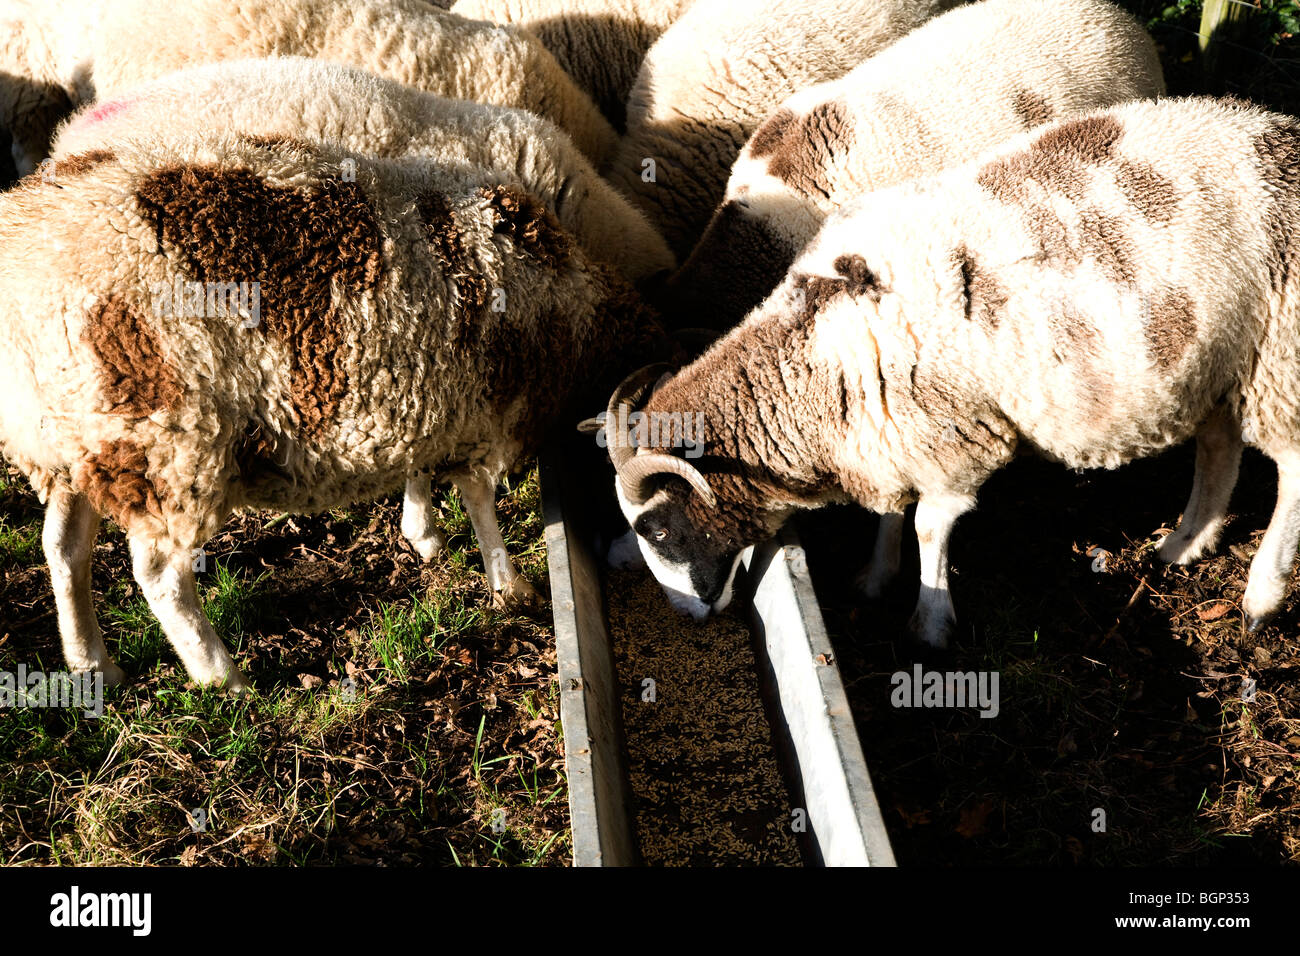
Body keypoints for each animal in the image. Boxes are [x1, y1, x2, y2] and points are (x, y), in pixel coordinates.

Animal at [0, 130, 666, 691]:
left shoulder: (431, 400)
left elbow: (422, 470)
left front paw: (422, 532)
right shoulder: (481, 409)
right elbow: (479, 499)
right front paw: (511, 586)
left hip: (73, 444)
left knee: (63, 548)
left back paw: (92, 663)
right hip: (162, 440)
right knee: (161, 574)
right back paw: (222, 678)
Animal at [592, 96, 1300, 650]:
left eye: (655, 527)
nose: (685, 615)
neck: (813, 363)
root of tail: (1280, 133)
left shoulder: (952, 440)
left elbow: (931, 525)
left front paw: (930, 622)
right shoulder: (889, 431)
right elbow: (890, 511)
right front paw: (876, 577)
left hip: (1280, 353)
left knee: (1290, 467)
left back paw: (1259, 597)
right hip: (1220, 361)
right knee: (1219, 444)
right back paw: (1186, 541)